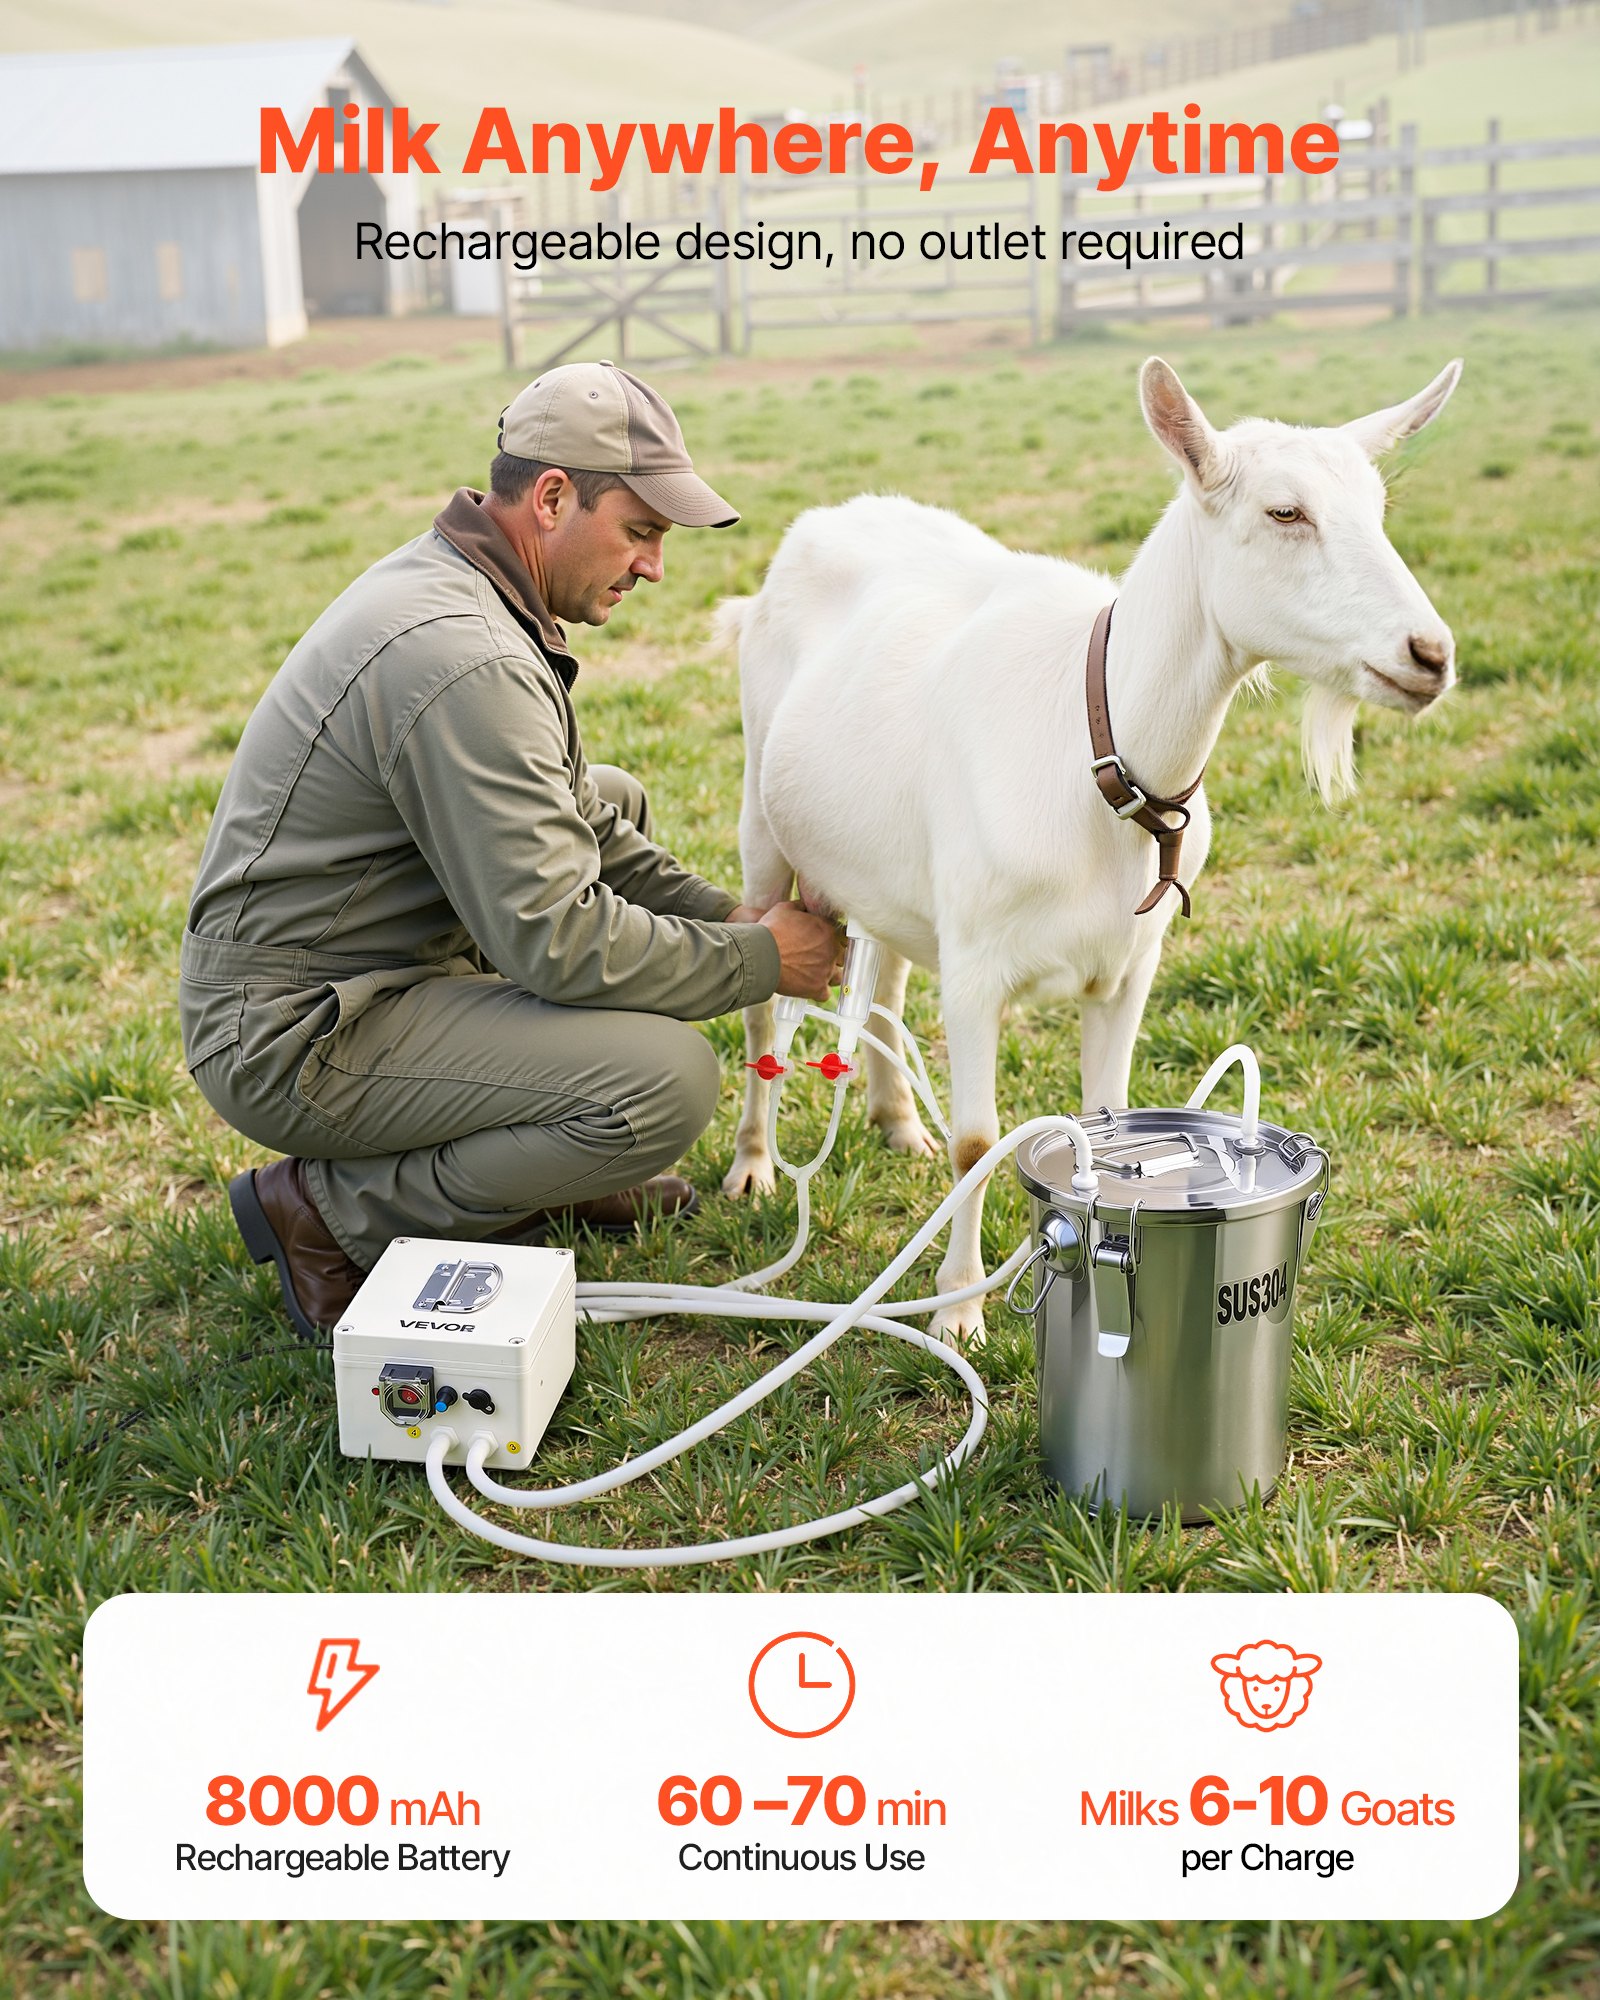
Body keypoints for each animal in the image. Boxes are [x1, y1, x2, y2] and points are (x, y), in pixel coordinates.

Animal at [718, 356, 1462, 1341]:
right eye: (1284, 512)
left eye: (1378, 509)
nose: (1430, 654)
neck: (1101, 760)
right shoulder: (977, 964)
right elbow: (977, 1141)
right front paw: (958, 1314)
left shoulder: (1128, 965)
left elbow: (1102, 1116)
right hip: (761, 819)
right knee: (766, 1002)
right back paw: (754, 1166)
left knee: (887, 974)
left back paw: (894, 1122)